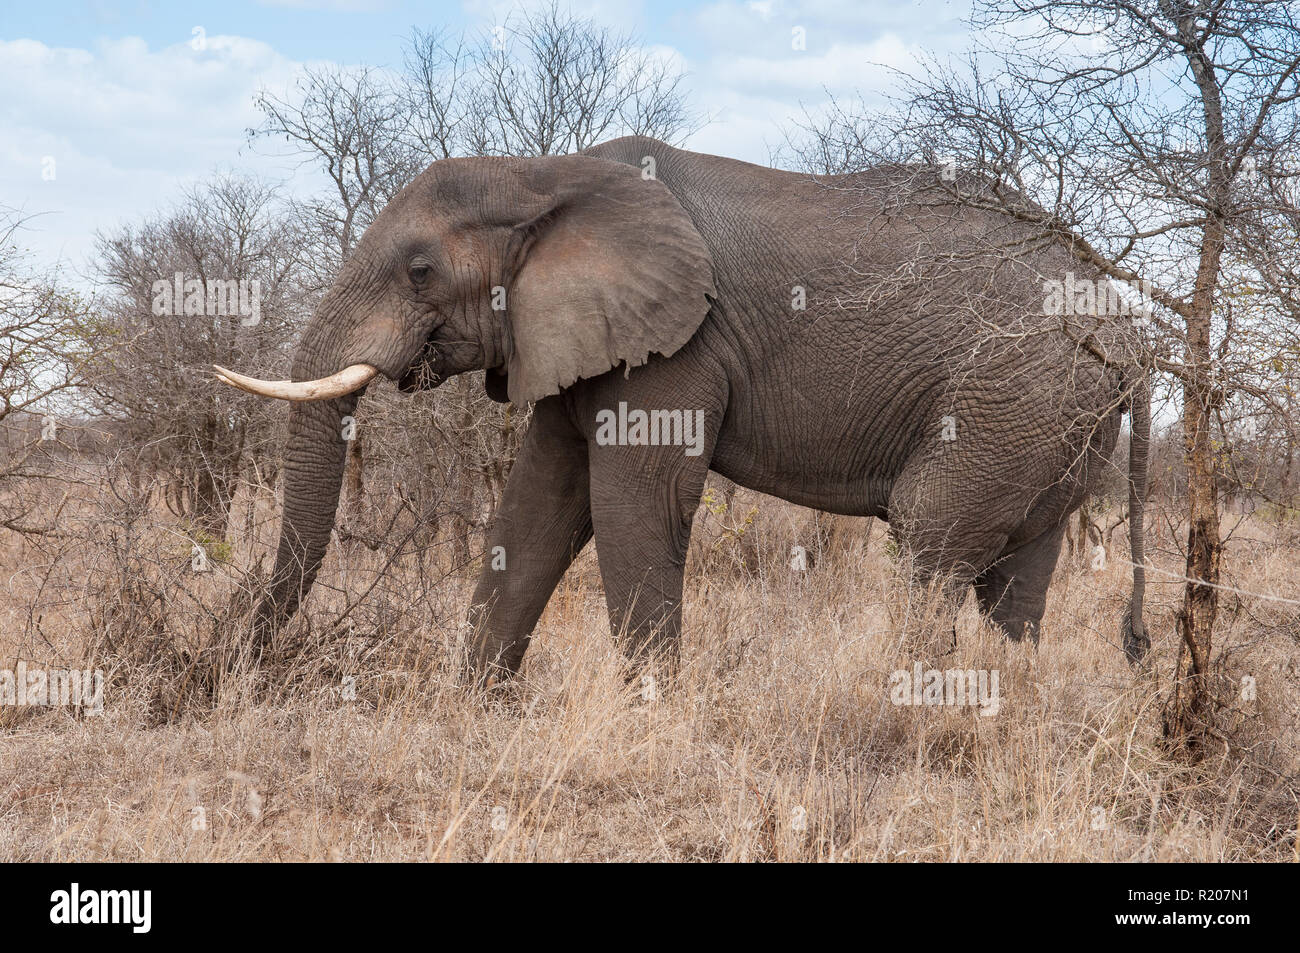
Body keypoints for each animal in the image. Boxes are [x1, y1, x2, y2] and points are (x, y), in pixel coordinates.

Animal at [216, 135, 1150, 683]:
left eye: (417, 270)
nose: (243, 667)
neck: (544, 172)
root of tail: (1128, 324)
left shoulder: (680, 343)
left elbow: (634, 503)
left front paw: (653, 715)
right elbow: (539, 506)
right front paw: (474, 706)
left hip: (1013, 398)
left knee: (931, 536)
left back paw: (907, 706)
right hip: (1050, 419)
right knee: (1018, 576)